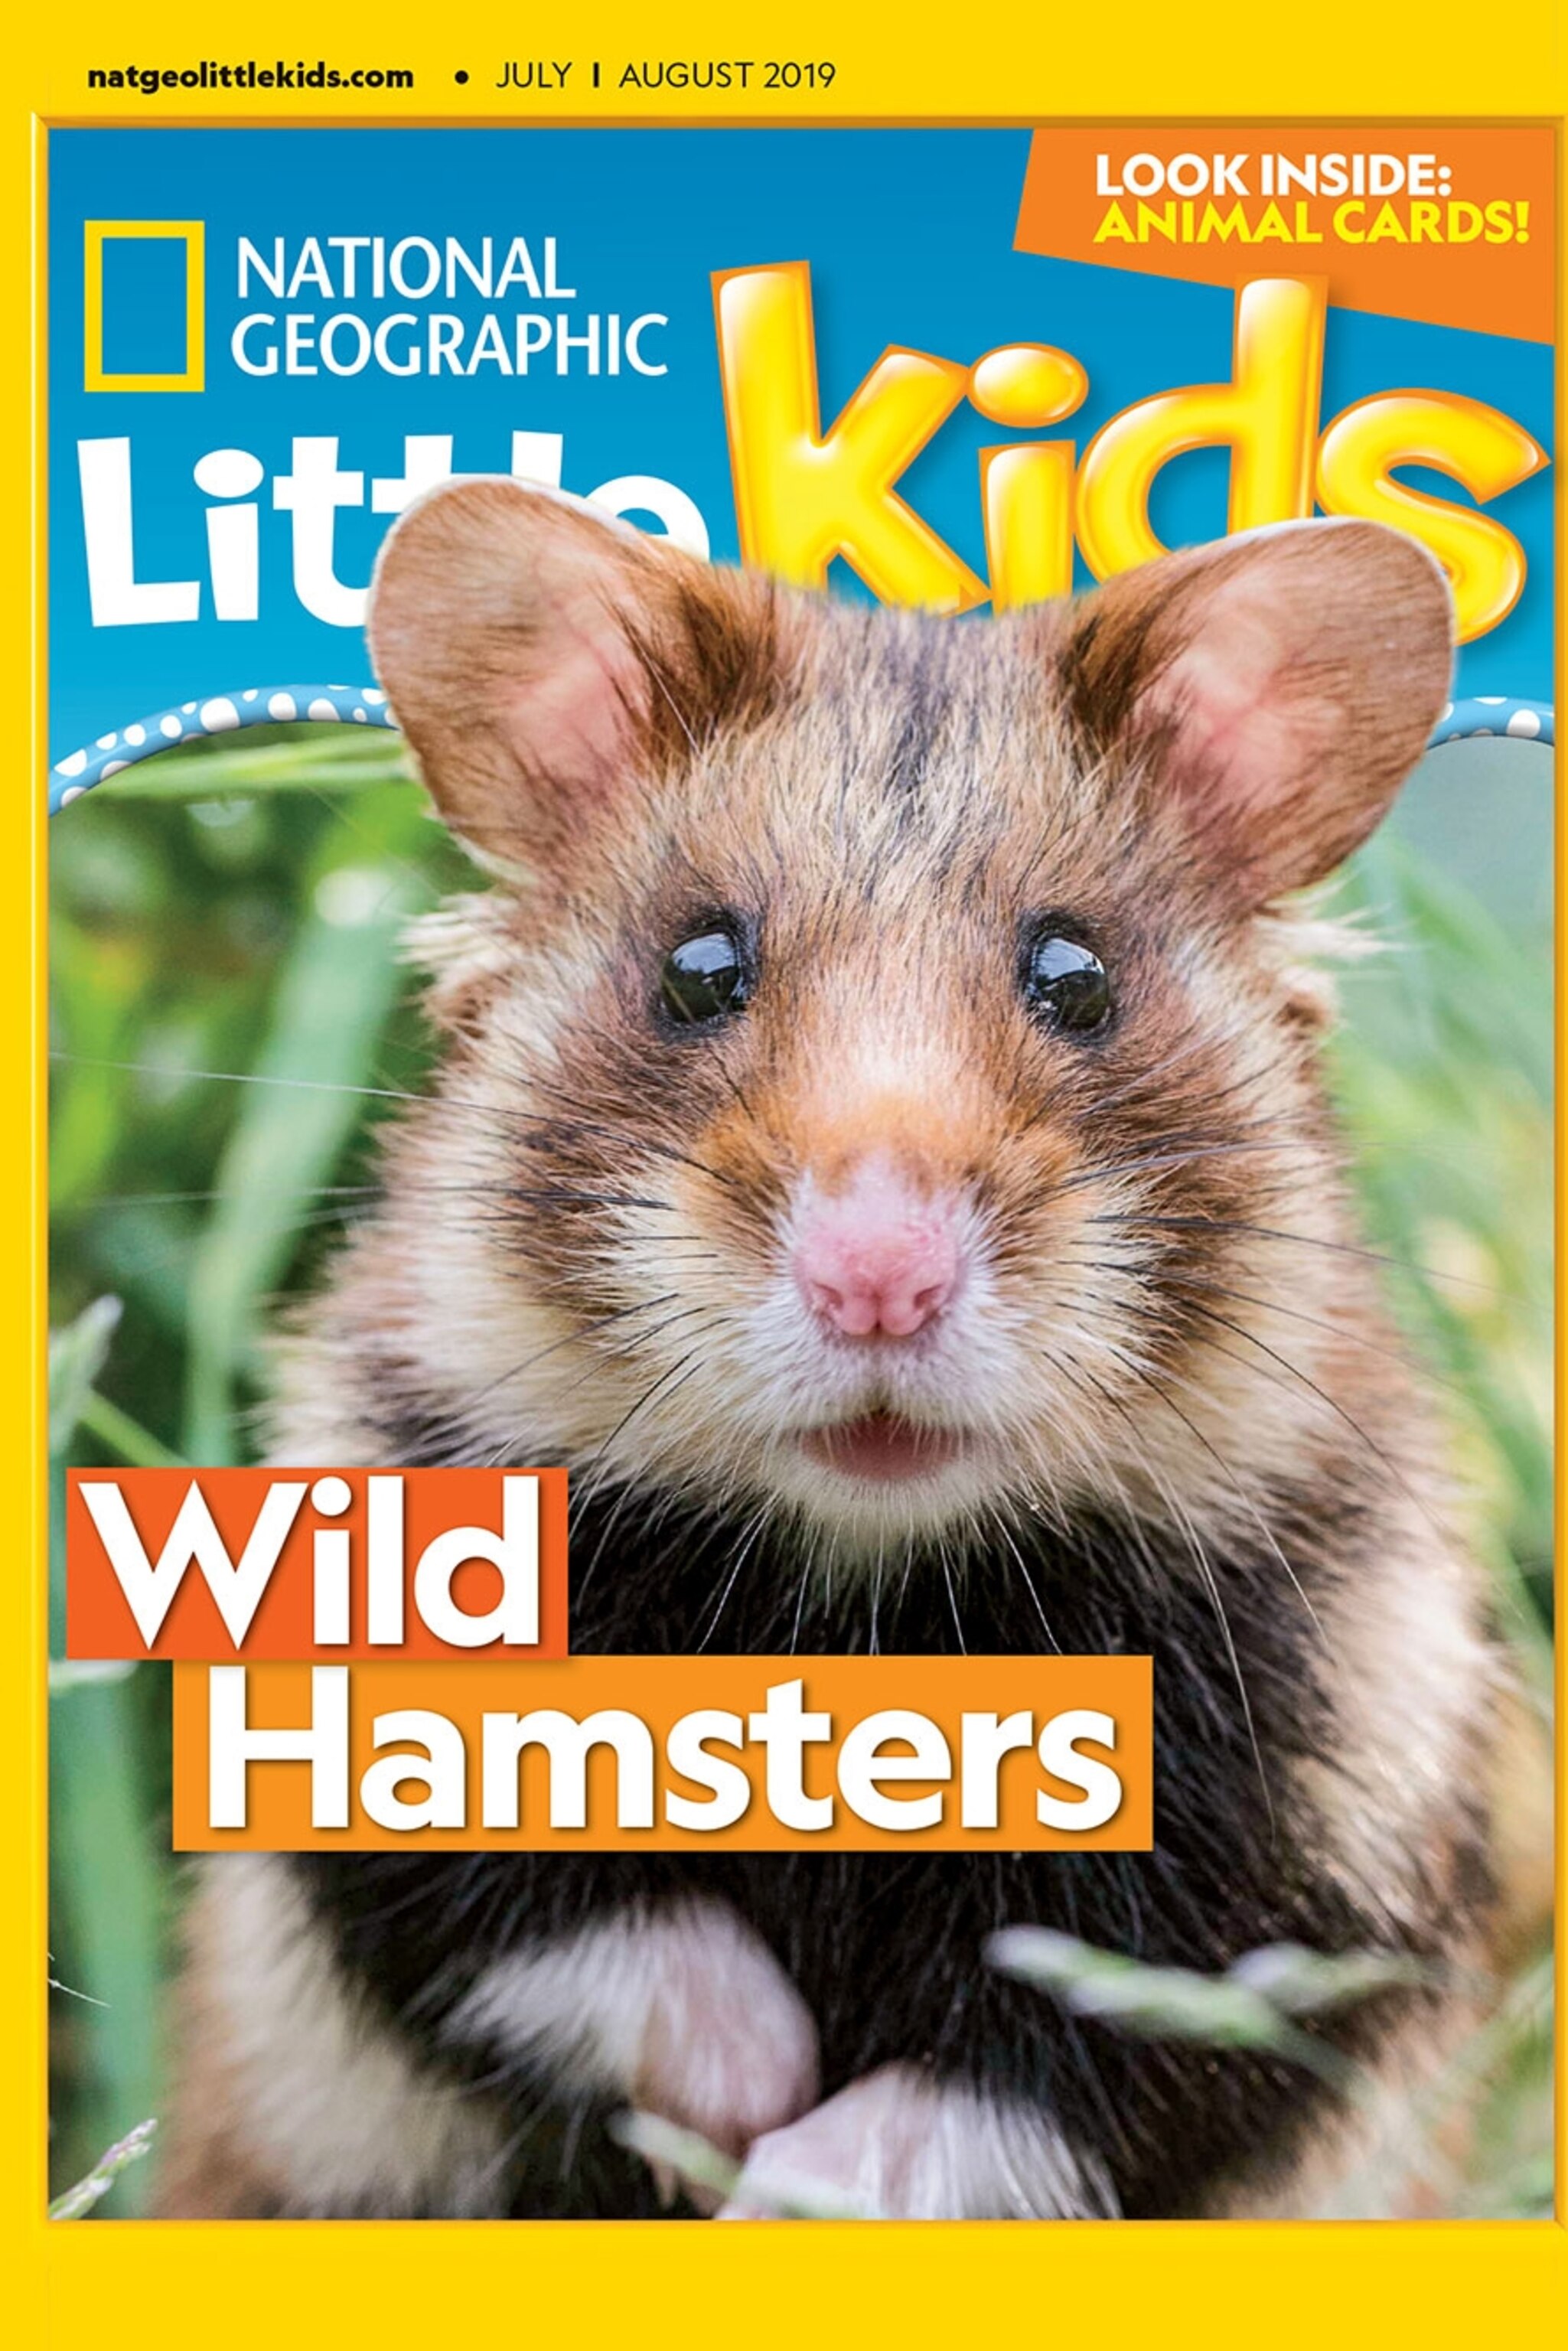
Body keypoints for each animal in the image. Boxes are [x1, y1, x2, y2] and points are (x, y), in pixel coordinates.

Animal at [156, 484, 1499, 2221]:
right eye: (697, 965)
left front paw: (776, 2178)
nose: (876, 1283)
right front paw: (742, 2104)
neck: (860, 1583)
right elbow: (556, 1904)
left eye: (1076, 976)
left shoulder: (1318, 1826)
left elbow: (1053, 2071)